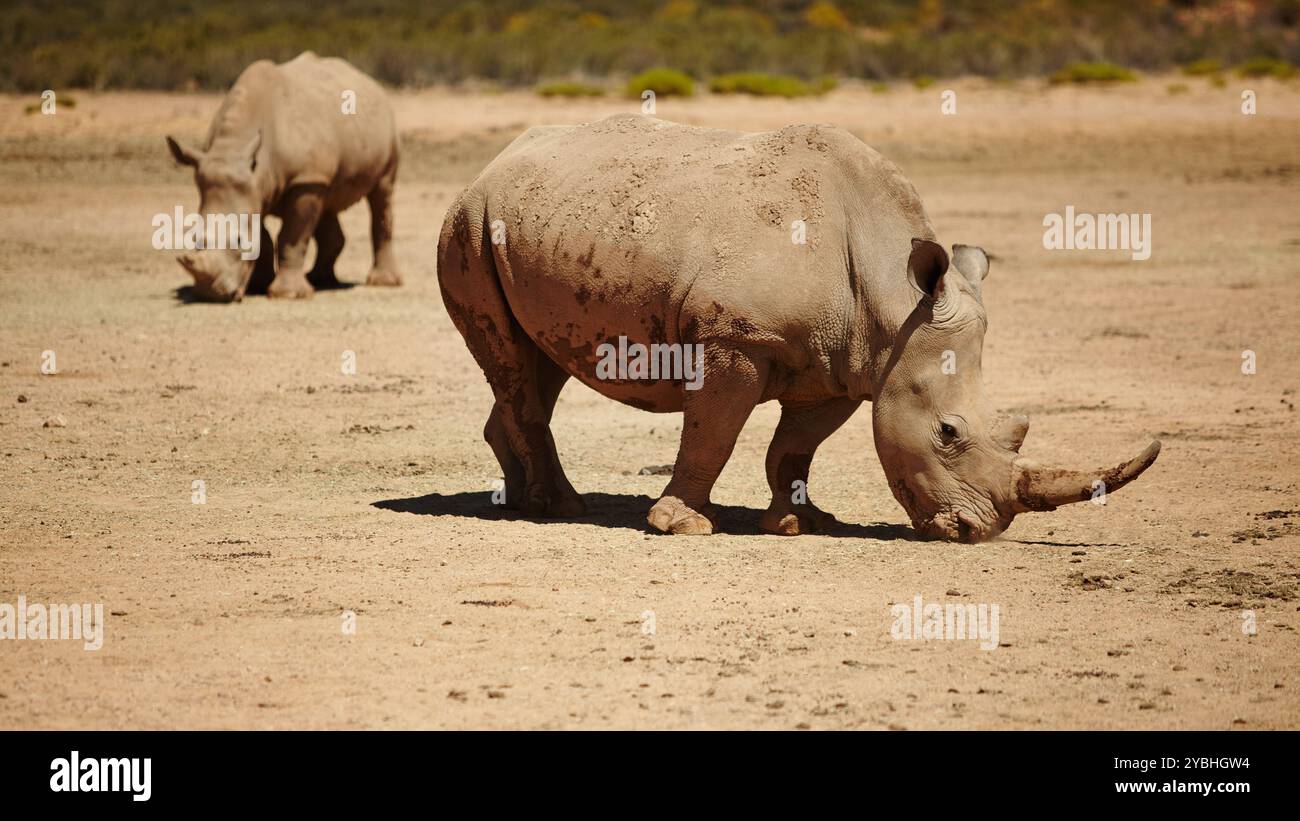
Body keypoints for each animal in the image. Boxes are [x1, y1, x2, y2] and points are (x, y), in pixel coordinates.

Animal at [165, 52, 401, 301]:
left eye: (239, 241)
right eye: (193, 237)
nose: (209, 294)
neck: (233, 147)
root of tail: (371, 82)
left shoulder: (302, 180)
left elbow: (291, 236)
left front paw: (288, 294)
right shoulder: (257, 188)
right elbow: (263, 238)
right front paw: (257, 286)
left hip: (383, 133)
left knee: (382, 194)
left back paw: (383, 282)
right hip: (329, 160)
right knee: (327, 202)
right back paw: (320, 280)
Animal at [436, 114, 1160, 542]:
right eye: (948, 434)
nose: (977, 531)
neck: (894, 301)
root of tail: (493, 163)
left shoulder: (849, 364)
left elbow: (794, 447)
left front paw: (801, 521)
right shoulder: (735, 338)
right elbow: (713, 434)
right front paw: (682, 525)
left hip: (527, 224)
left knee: (536, 364)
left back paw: (522, 498)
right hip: (470, 225)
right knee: (515, 366)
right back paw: (560, 507)